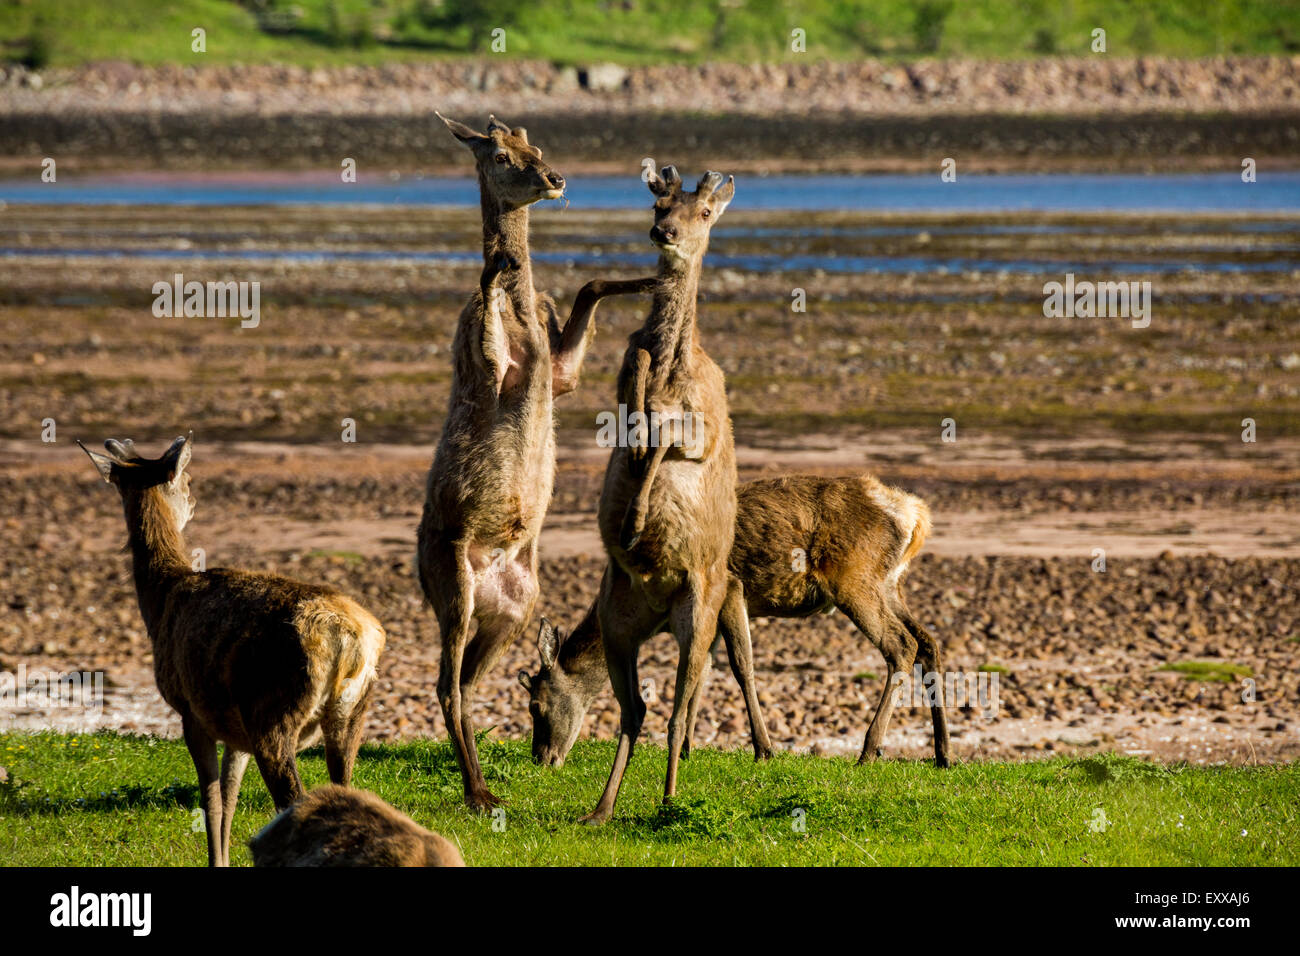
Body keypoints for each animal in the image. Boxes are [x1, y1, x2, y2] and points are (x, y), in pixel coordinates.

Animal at [78, 434, 386, 867]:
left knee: (294, 799)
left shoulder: (191, 709)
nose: (193, 500)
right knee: (348, 787)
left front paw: (215, 860)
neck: (162, 600)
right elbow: (230, 797)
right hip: (352, 709)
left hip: (273, 711)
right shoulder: (234, 730)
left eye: (188, 479)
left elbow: (211, 800)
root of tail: (351, 638)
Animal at [418, 114, 657, 812]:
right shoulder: (489, 369)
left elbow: (585, 292)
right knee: (445, 684)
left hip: (514, 610)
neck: (527, 325)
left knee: (466, 684)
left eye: (537, 144)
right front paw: (498, 263)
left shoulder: (559, 374)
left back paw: (483, 785)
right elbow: (487, 319)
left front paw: (648, 278)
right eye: (499, 154)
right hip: (451, 585)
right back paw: (479, 794)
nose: (556, 178)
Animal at [521, 474, 953, 770]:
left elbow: (740, 665)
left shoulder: (729, 588)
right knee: (928, 642)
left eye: (535, 706)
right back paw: (942, 753)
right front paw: (688, 749)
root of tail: (914, 515)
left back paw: (868, 750)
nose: (541, 758)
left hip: (855, 579)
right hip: (891, 583)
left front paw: (764, 749)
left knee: (901, 645)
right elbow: (702, 670)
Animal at [573, 165, 759, 824]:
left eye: (704, 211)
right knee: (636, 711)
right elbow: (632, 387)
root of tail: (655, 605)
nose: (665, 232)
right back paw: (600, 808)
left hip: (699, 607)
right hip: (617, 617)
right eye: (657, 202)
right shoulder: (619, 394)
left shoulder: (703, 429)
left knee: (680, 711)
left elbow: (661, 443)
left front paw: (633, 521)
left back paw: (670, 800)